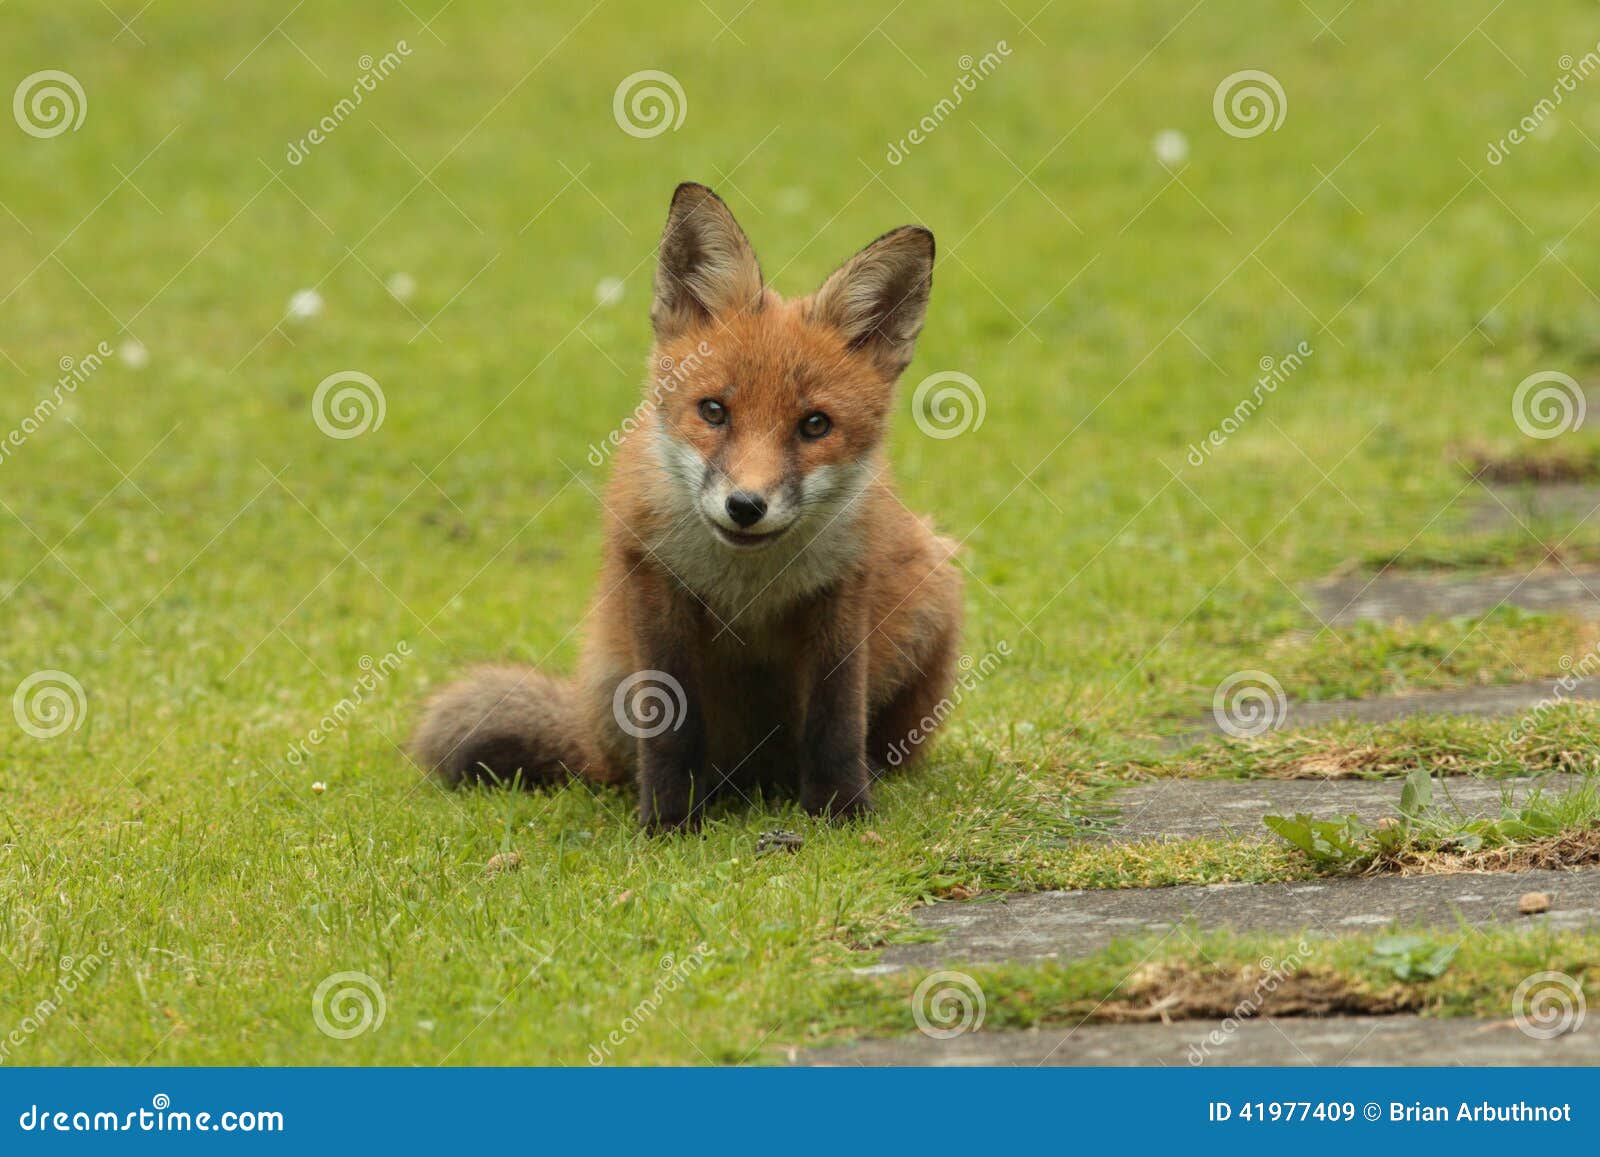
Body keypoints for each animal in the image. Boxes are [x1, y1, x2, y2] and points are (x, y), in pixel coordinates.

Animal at [411, 182, 963, 830]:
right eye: (713, 411)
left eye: (815, 425)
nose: (745, 505)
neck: (747, 582)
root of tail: (756, 777)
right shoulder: (655, 584)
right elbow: (672, 727)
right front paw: (670, 823)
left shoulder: (842, 590)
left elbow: (835, 720)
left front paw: (842, 812)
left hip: (934, 587)